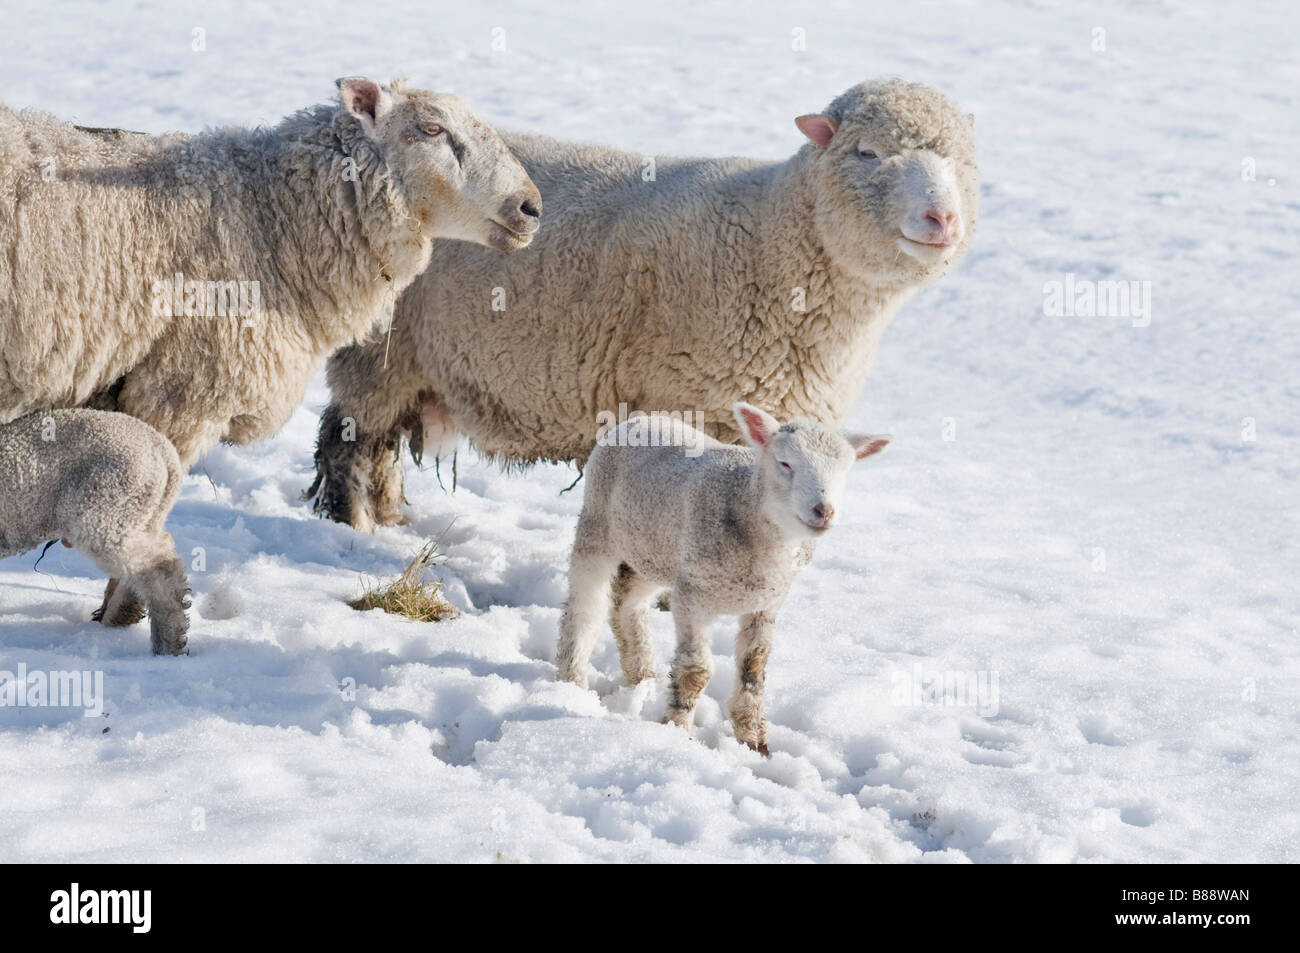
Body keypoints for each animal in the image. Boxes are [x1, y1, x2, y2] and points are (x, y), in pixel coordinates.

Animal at [0, 409, 189, 655]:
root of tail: (162, 449)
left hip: (106, 515)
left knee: (160, 570)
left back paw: (168, 644)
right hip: (144, 518)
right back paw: (122, 616)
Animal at [307, 78, 976, 532]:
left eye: (963, 163)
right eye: (868, 153)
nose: (942, 218)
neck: (776, 240)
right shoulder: (694, 411)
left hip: (412, 367)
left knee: (383, 447)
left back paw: (390, 520)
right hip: (379, 352)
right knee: (348, 442)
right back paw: (354, 526)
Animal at [554, 403, 890, 754]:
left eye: (845, 472)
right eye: (784, 463)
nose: (824, 511)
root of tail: (640, 419)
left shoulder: (766, 602)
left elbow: (754, 668)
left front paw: (754, 739)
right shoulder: (692, 596)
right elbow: (696, 671)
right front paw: (677, 731)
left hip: (655, 550)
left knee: (627, 602)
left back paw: (642, 676)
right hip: (598, 527)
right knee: (584, 608)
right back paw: (572, 683)